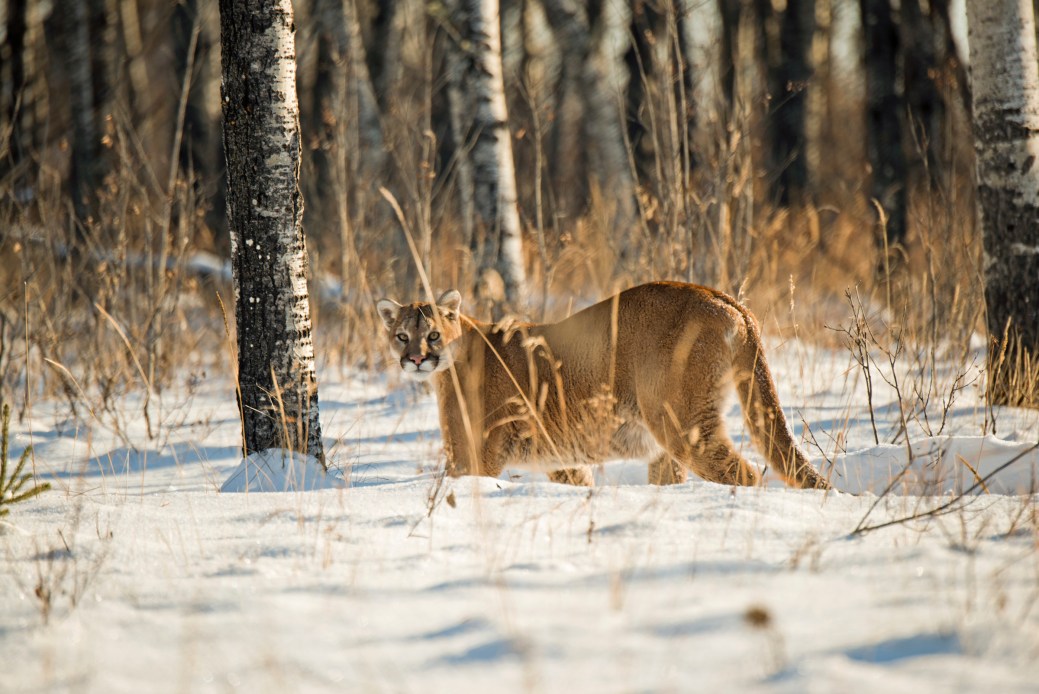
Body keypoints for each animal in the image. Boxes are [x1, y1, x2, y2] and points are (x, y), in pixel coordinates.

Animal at [376, 282, 830, 489]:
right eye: (401, 335)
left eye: (433, 335)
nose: (415, 359)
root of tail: (722, 297)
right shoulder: (561, 458)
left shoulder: (473, 459)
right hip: (665, 443)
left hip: (682, 423)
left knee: (746, 473)